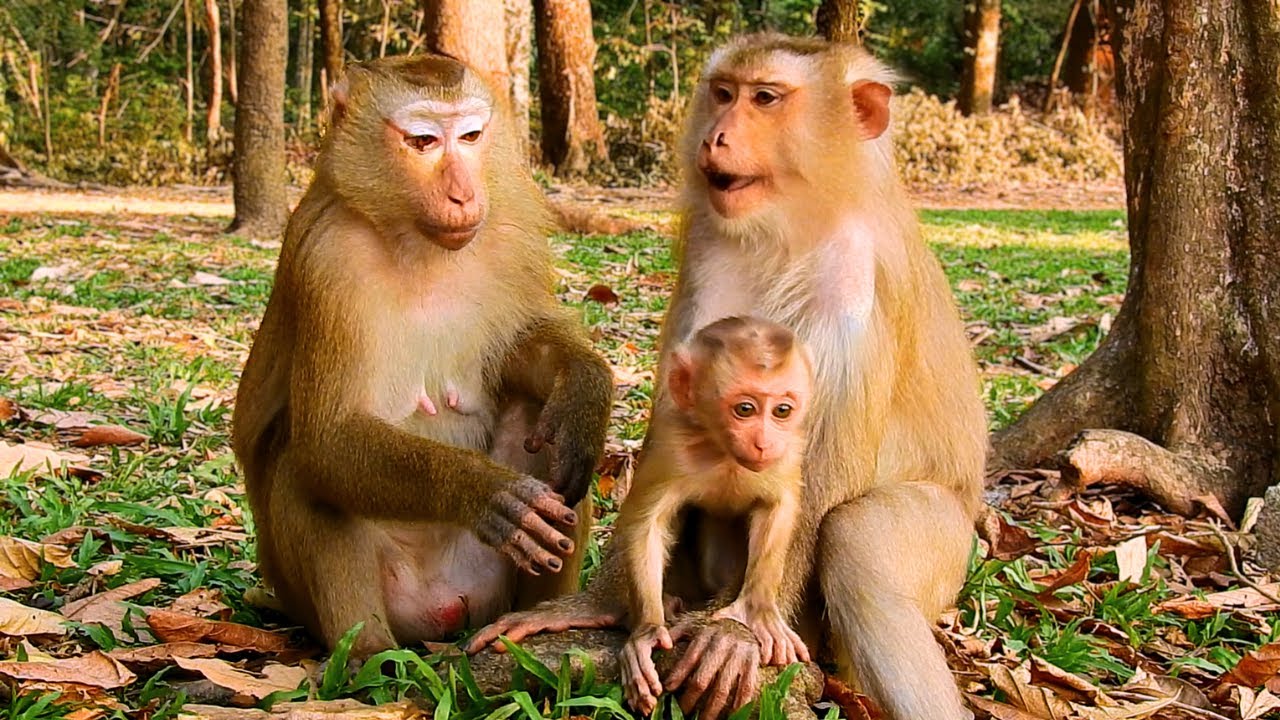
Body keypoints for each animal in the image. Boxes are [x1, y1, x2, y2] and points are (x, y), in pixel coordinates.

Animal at [230, 54, 614, 658]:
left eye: (472, 137)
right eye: (423, 141)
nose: (463, 195)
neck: (416, 241)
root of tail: (443, 612)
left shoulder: (512, 231)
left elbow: (522, 350)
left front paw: (583, 391)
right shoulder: (326, 259)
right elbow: (326, 438)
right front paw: (481, 492)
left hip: (484, 585)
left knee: (546, 439)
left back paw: (536, 621)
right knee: (301, 463)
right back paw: (370, 658)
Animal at [616, 316, 812, 715]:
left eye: (782, 411)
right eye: (745, 409)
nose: (764, 443)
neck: (724, 451)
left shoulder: (788, 450)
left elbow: (777, 506)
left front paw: (757, 609)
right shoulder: (673, 444)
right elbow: (647, 524)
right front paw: (647, 630)